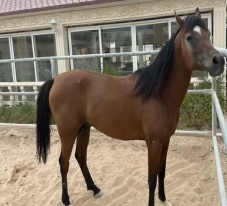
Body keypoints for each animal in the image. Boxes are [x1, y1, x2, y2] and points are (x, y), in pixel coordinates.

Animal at [36, 8, 224, 206]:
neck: (158, 94)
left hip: (84, 129)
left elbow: (162, 172)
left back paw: (95, 189)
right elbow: (151, 179)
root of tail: (56, 79)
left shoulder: (165, 140)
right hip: (68, 132)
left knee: (80, 157)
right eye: (189, 38)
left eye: (208, 34)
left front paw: (163, 199)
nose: (218, 60)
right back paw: (66, 199)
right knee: (63, 163)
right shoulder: (154, 143)